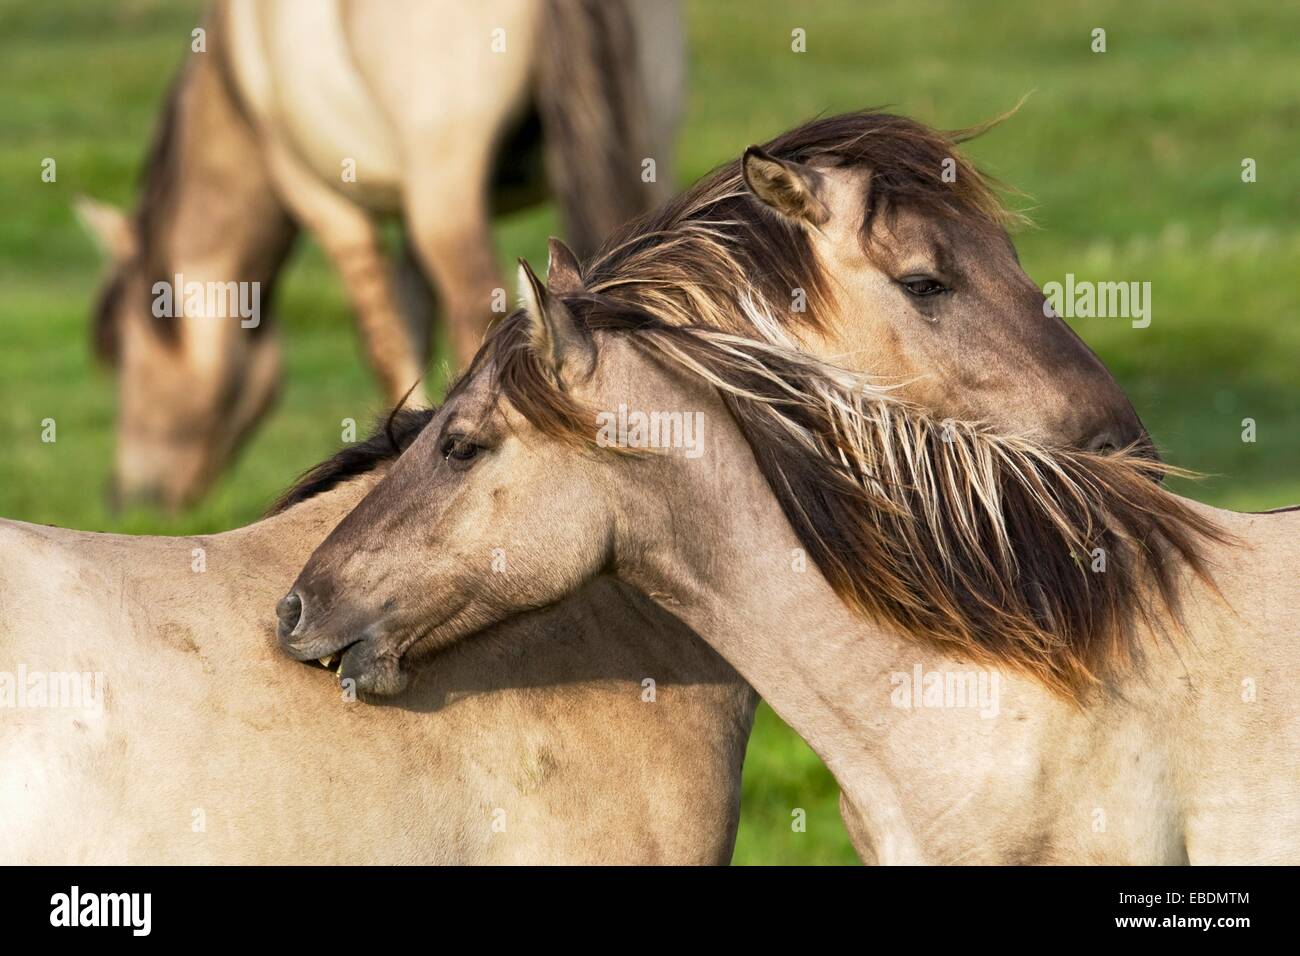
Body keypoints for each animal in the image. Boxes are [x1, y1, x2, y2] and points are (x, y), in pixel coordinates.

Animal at [78, 0, 684, 510]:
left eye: (123, 352)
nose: (125, 496)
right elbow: (415, 319)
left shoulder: (322, 198)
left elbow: (385, 340)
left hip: (445, 181)